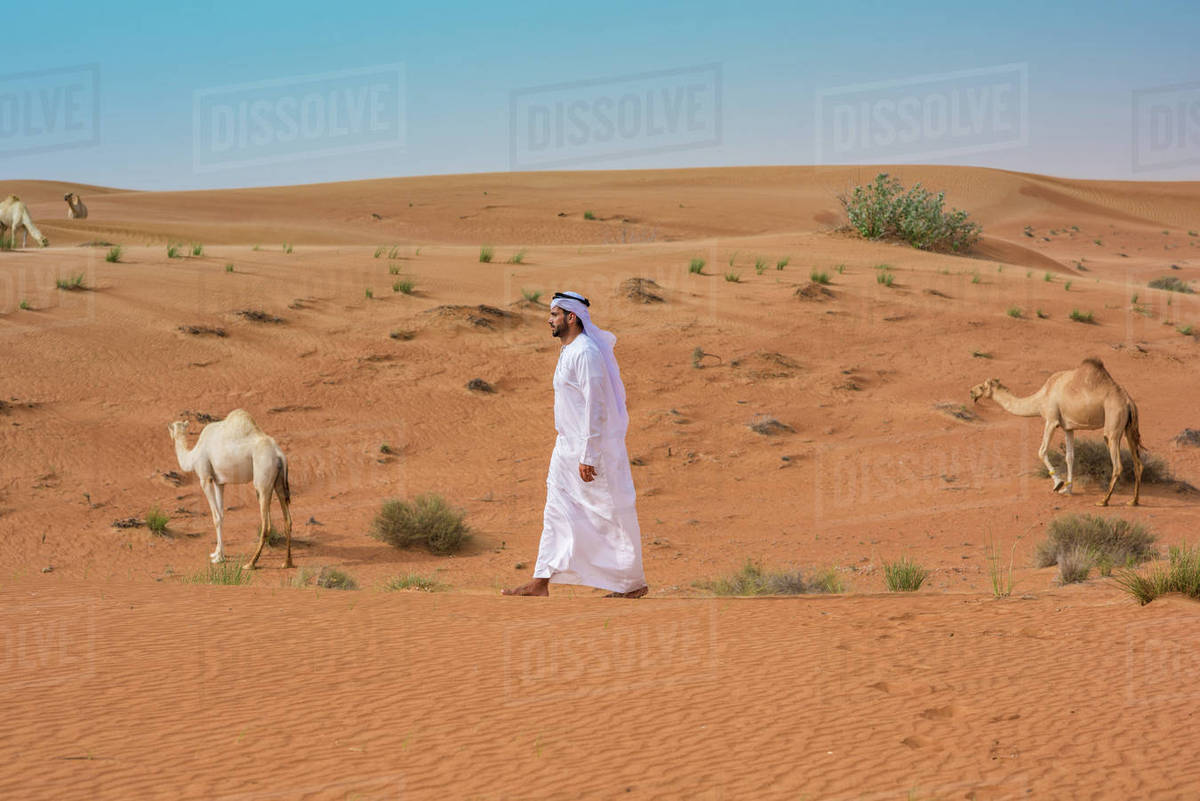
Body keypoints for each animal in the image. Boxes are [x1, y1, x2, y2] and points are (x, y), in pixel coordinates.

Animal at [168, 409, 294, 568]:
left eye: (172, 428)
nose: (171, 435)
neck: (193, 455)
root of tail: (279, 454)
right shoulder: (219, 482)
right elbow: (221, 515)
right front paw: (217, 553)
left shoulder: (205, 478)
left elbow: (215, 517)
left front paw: (219, 558)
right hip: (278, 481)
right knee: (287, 519)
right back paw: (287, 562)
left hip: (262, 478)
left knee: (266, 524)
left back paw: (250, 563)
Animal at [969, 358, 1143, 506]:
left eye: (982, 387)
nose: (971, 392)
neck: (1041, 397)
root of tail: (1128, 401)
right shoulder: (1068, 427)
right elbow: (1070, 457)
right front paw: (1068, 489)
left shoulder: (1051, 420)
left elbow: (1041, 451)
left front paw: (1058, 484)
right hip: (1129, 428)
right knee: (1138, 463)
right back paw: (1133, 501)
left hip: (1113, 421)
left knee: (1117, 464)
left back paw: (1104, 501)